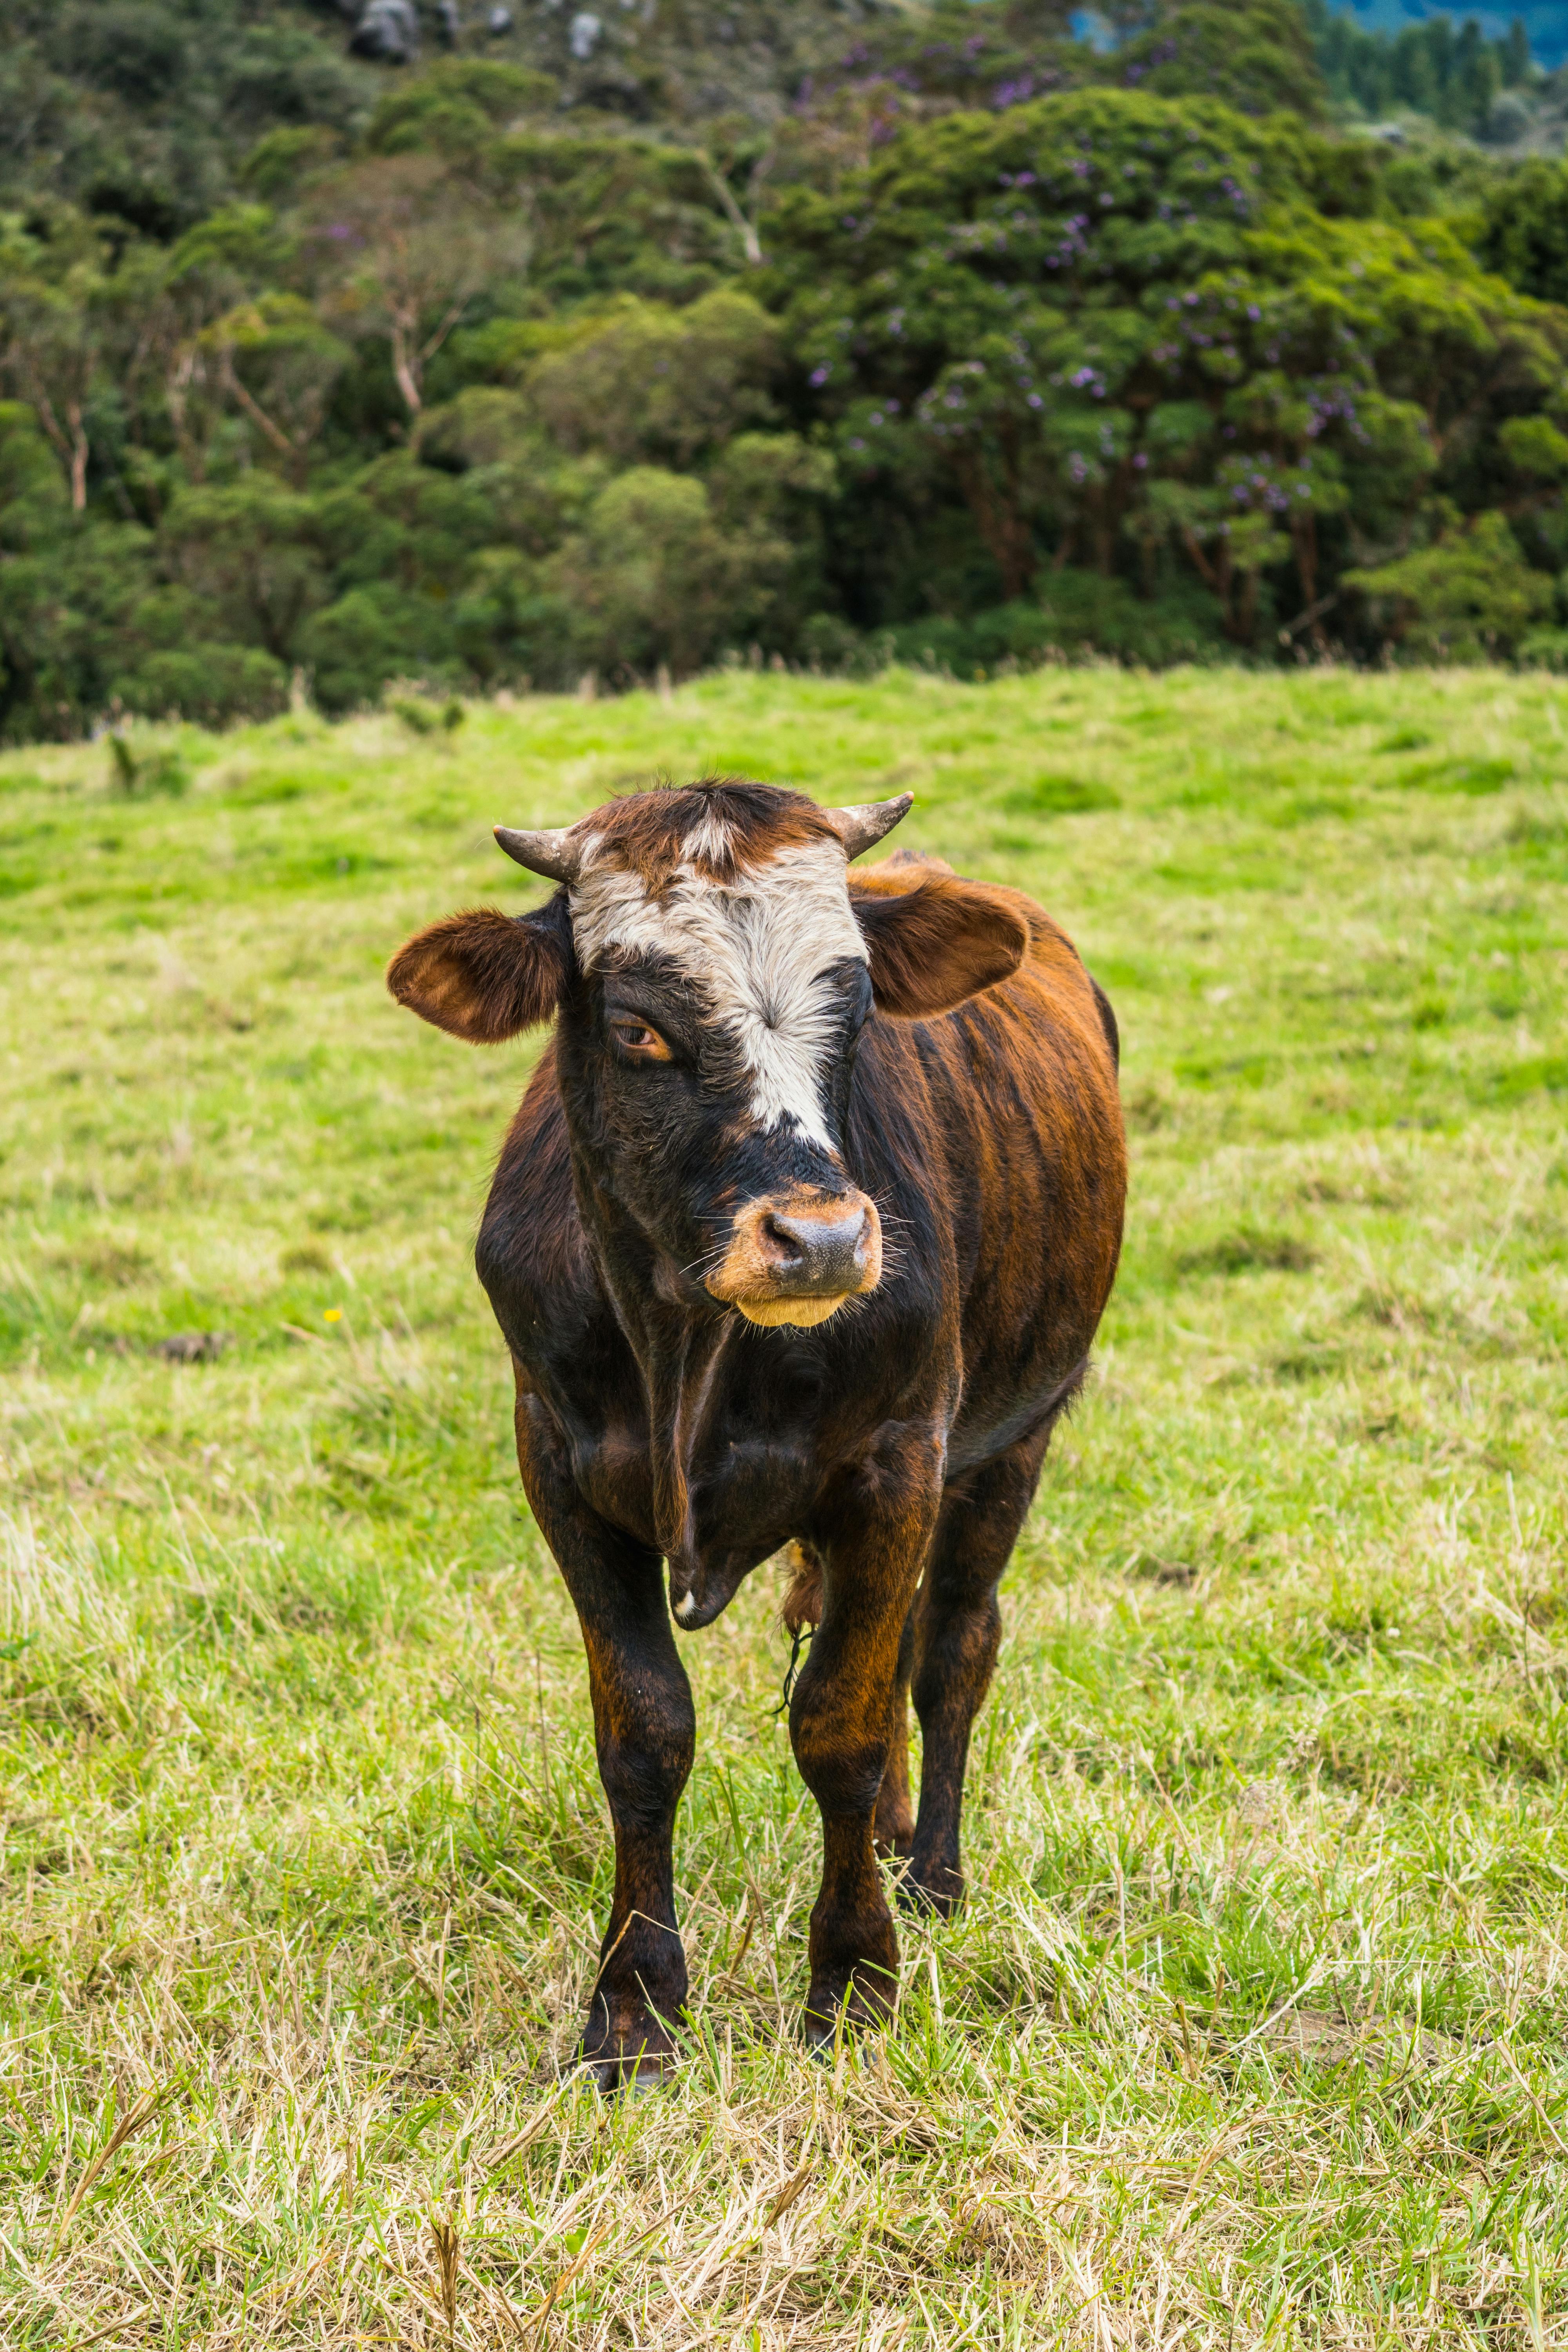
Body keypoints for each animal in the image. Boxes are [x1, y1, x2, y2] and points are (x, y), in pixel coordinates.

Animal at [387, 777, 1125, 2087]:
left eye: (859, 1003)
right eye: (638, 1029)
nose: (822, 1238)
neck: (685, 1344)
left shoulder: (897, 1463)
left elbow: (840, 1720)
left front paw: (854, 1976)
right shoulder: (560, 1472)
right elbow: (644, 1730)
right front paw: (636, 2002)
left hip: (1015, 1436)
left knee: (951, 1647)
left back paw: (929, 1869)